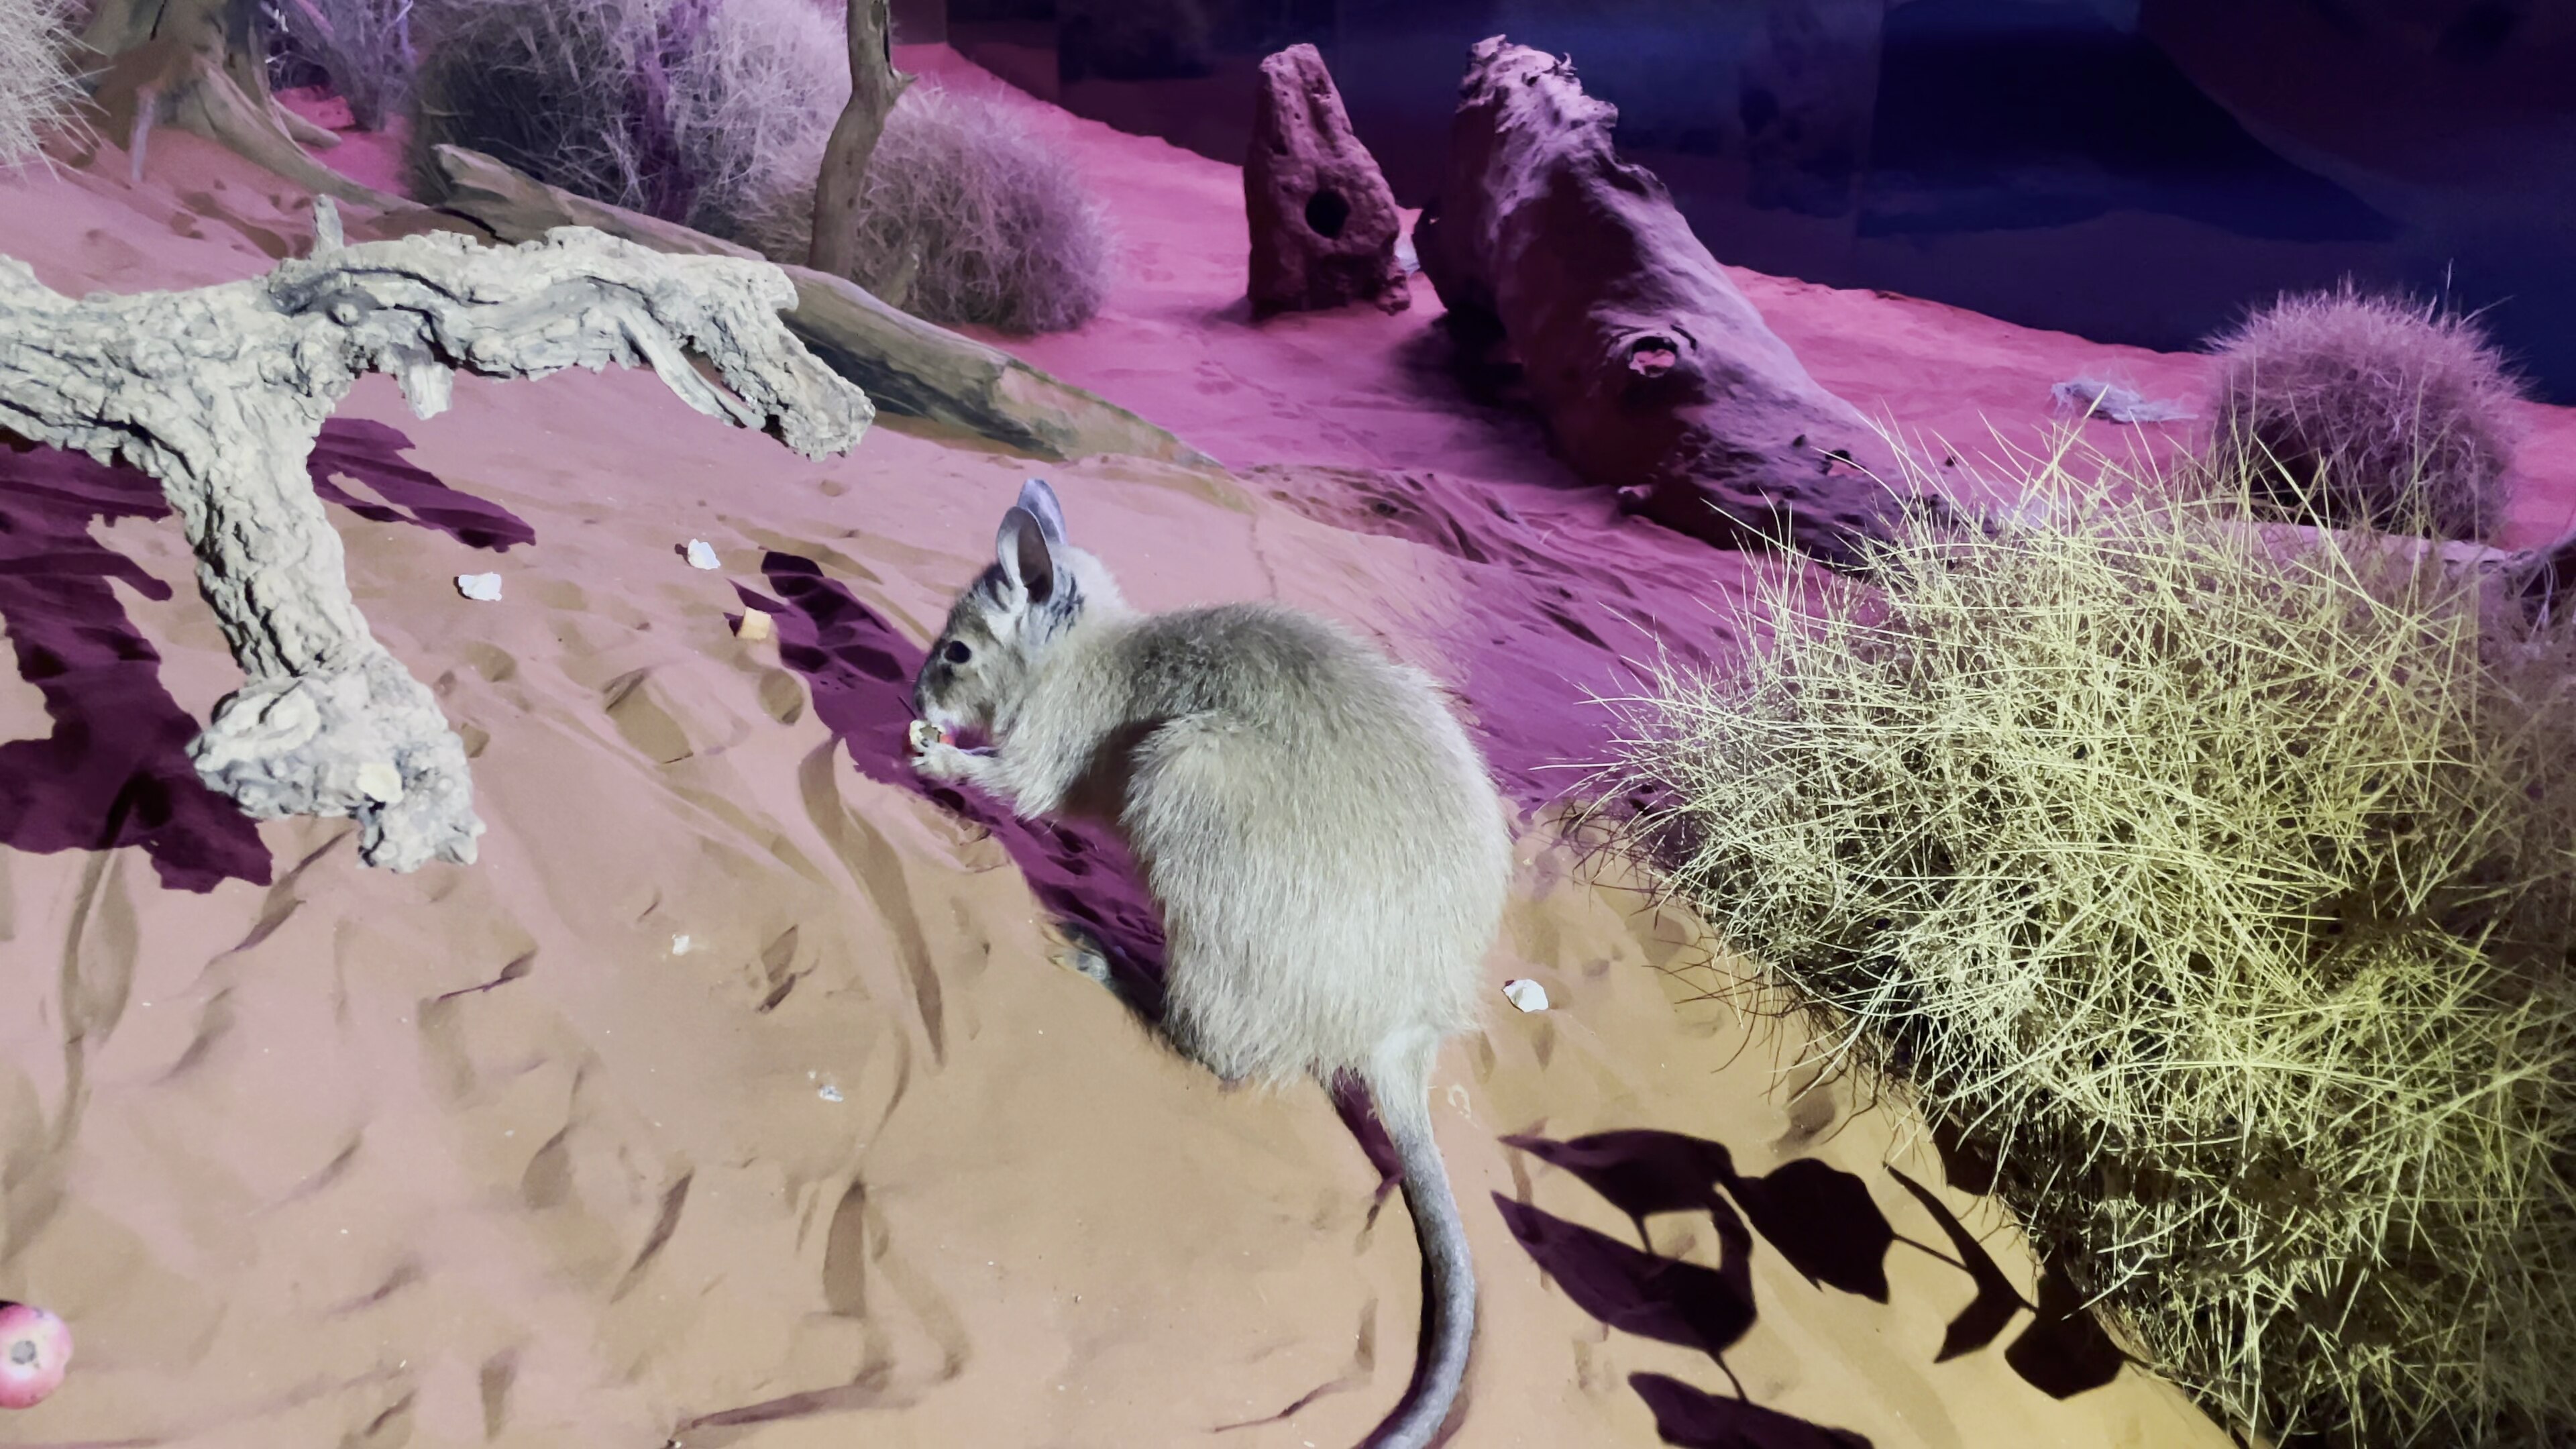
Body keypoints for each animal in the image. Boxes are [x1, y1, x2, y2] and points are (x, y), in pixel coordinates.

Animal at [908, 477, 1511, 1449]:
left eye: (959, 651)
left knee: (1215, 1048)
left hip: (1183, 782)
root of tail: (1401, 1040)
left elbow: (1010, 785)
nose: (914, 693)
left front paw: (933, 755)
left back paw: (1105, 956)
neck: (1076, 659)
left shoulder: (1042, 762)